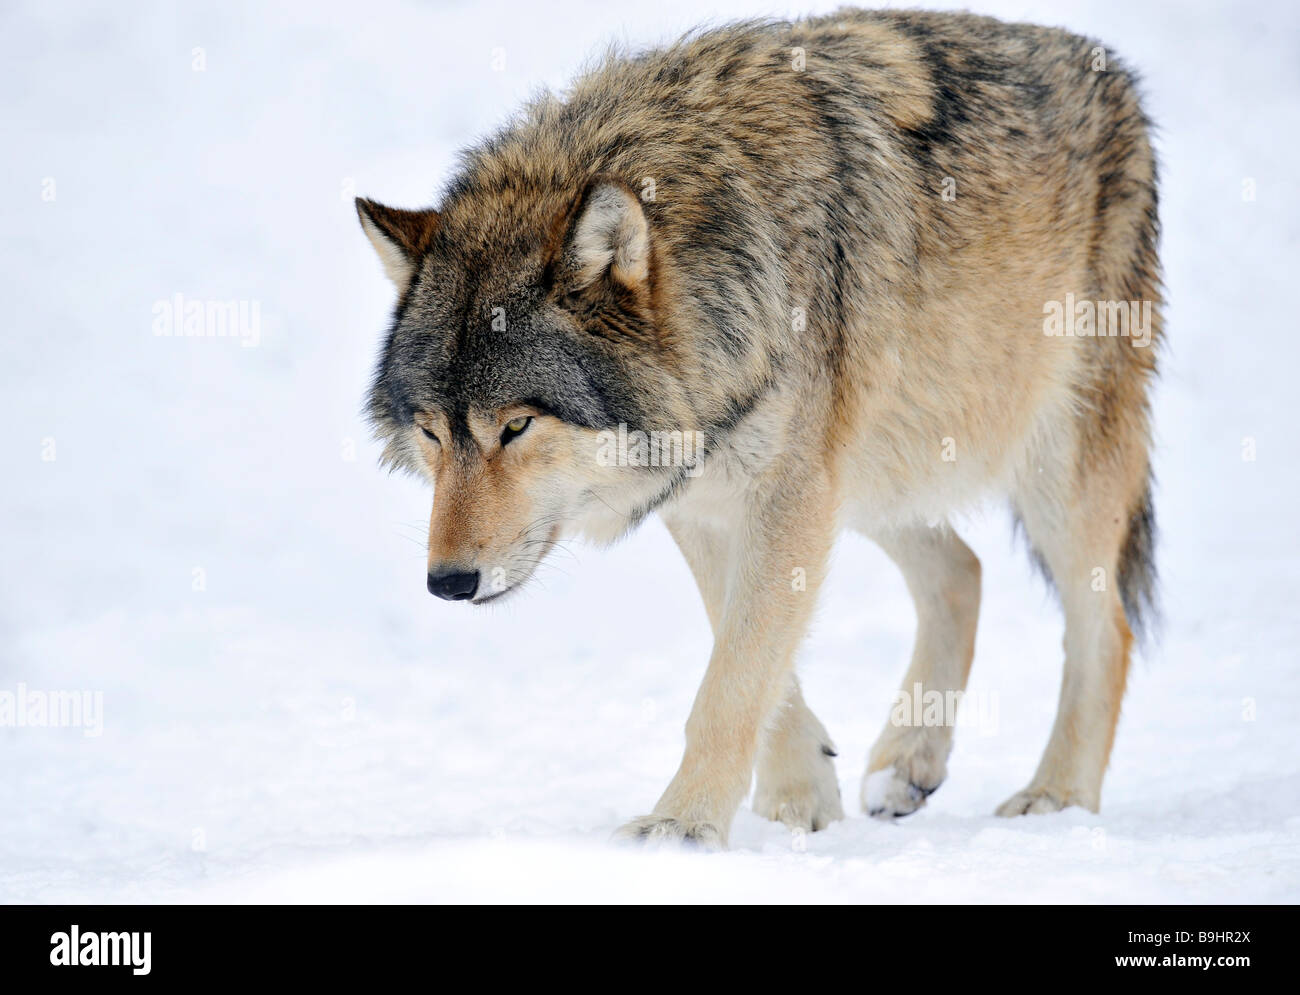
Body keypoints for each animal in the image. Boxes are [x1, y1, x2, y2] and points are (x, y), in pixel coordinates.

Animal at [356, 8, 1161, 847]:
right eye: (431, 432)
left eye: (515, 425)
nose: (448, 582)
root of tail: (1107, 68)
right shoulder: (706, 499)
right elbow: (745, 654)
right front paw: (798, 795)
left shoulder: (783, 494)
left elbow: (733, 680)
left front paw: (682, 825)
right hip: (870, 471)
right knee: (961, 570)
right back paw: (908, 760)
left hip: (1050, 470)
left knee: (1104, 625)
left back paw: (1057, 797)